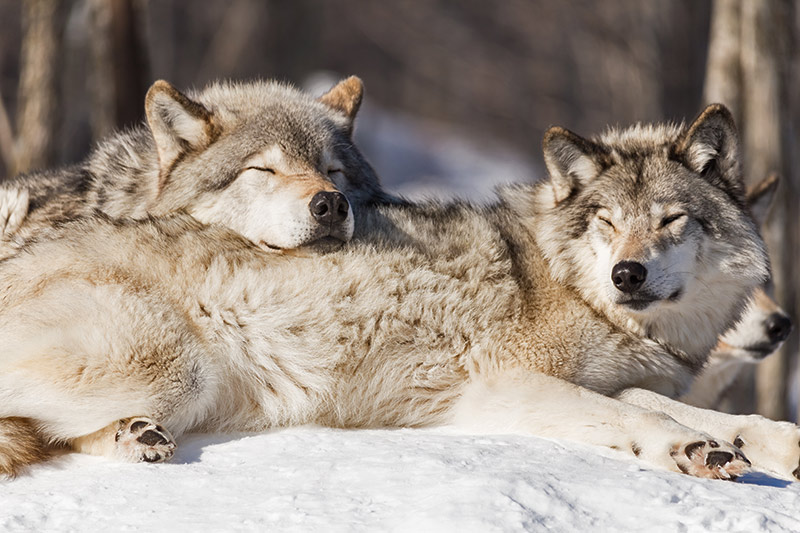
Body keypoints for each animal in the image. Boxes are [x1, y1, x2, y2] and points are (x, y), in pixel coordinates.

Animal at [1, 104, 799, 481]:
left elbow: (700, 413)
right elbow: (647, 417)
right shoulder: (506, 385)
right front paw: (690, 449)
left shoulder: (616, 378)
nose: (626, 274)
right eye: (606, 220)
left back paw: (135, 436)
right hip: (169, 367)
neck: (566, 281)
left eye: (671, 220)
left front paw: (763, 444)